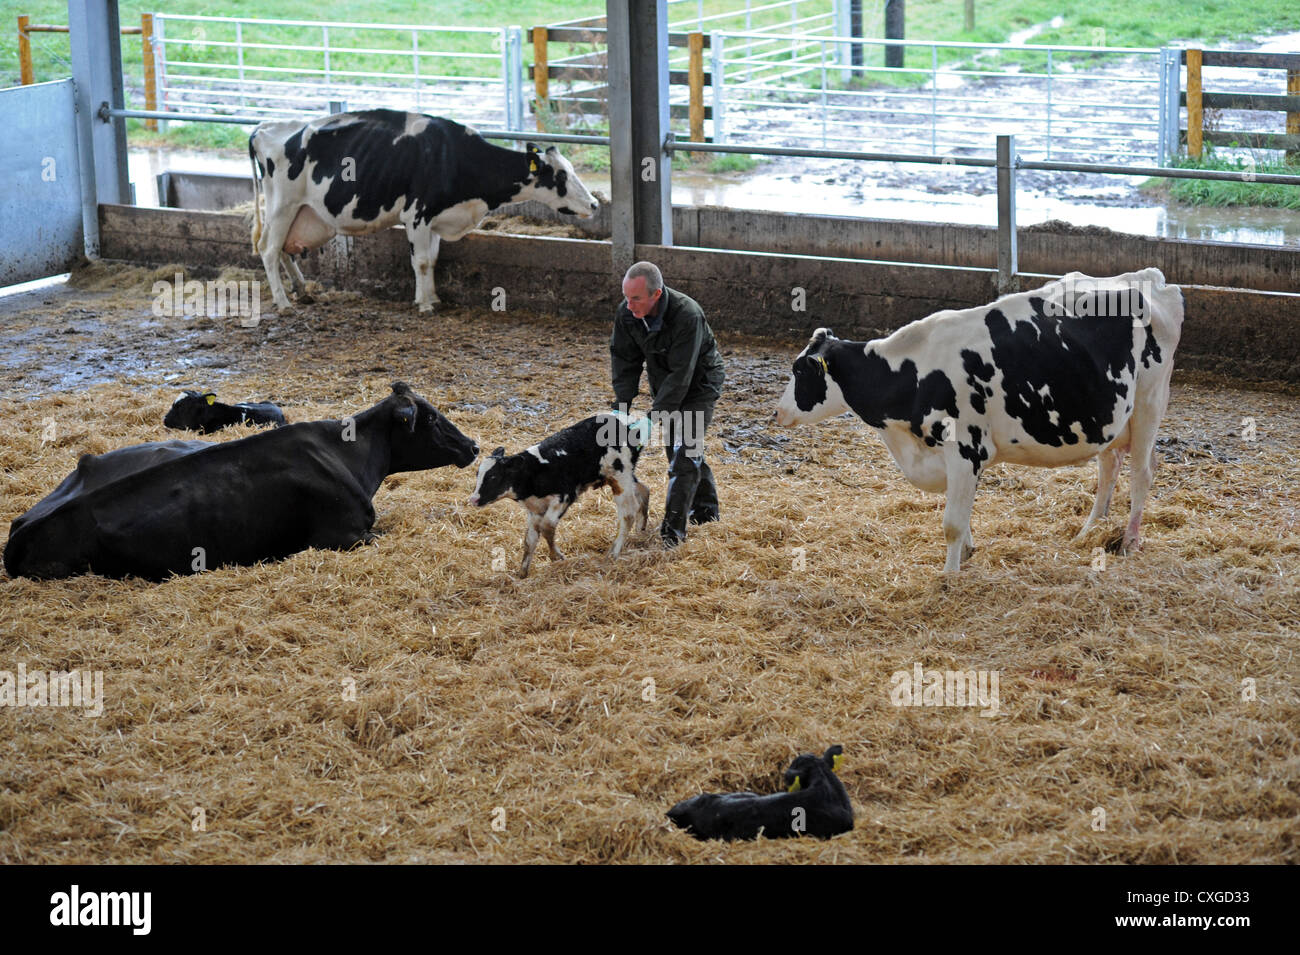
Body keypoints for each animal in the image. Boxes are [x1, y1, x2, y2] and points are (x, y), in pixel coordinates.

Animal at [249, 109, 599, 312]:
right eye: (561, 176)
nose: (595, 204)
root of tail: (264, 126)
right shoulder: (417, 214)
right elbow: (420, 262)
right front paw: (425, 304)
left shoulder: (436, 219)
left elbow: (432, 259)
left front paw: (432, 298)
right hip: (283, 205)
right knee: (268, 249)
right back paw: (283, 303)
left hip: (300, 212)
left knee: (284, 250)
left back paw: (301, 290)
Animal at [467, 413, 652, 578]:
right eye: (478, 474)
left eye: (493, 477)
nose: (473, 499)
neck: (534, 471)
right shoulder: (534, 510)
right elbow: (530, 540)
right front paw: (522, 572)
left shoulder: (564, 496)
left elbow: (547, 527)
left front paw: (557, 556)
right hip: (621, 477)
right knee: (643, 489)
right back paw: (640, 531)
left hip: (620, 476)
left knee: (628, 514)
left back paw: (614, 553)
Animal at [774, 269, 1183, 573]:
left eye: (801, 371)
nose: (778, 412)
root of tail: (1149, 278)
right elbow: (963, 511)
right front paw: (968, 553)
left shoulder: (966, 449)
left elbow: (952, 523)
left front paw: (949, 577)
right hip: (1111, 417)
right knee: (1109, 467)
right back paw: (1089, 531)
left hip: (1149, 403)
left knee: (1142, 473)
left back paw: (1129, 540)